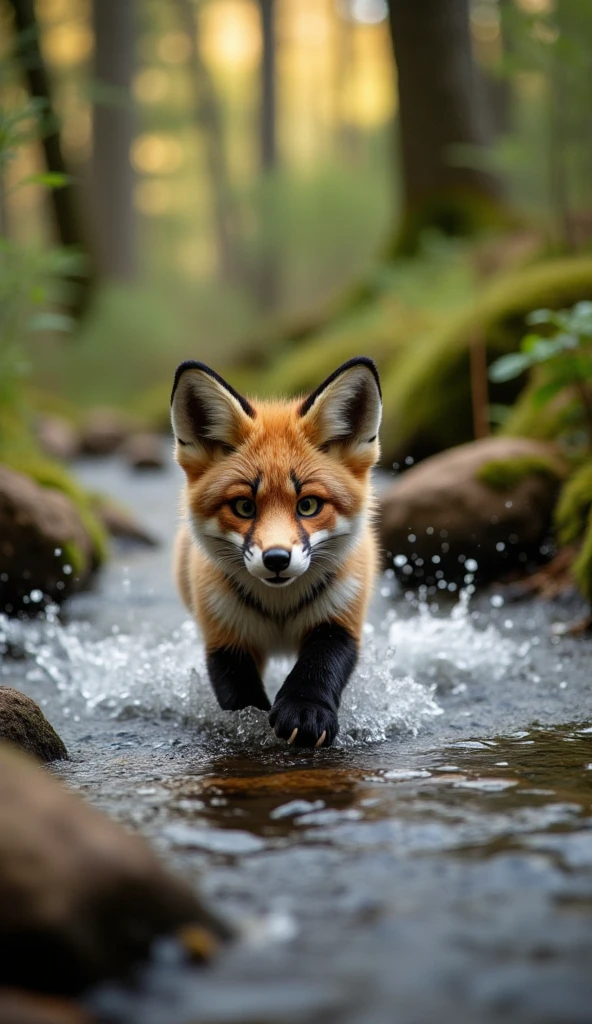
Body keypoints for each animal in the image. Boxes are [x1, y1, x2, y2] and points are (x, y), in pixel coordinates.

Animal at [170, 356, 382, 748]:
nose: (277, 559)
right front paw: (250, 726)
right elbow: (239, 698)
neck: (279, 611)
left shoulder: (339, 619)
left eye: (308, 505)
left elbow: (318, 668)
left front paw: (306, 711)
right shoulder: (225, 636)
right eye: (244, 507)